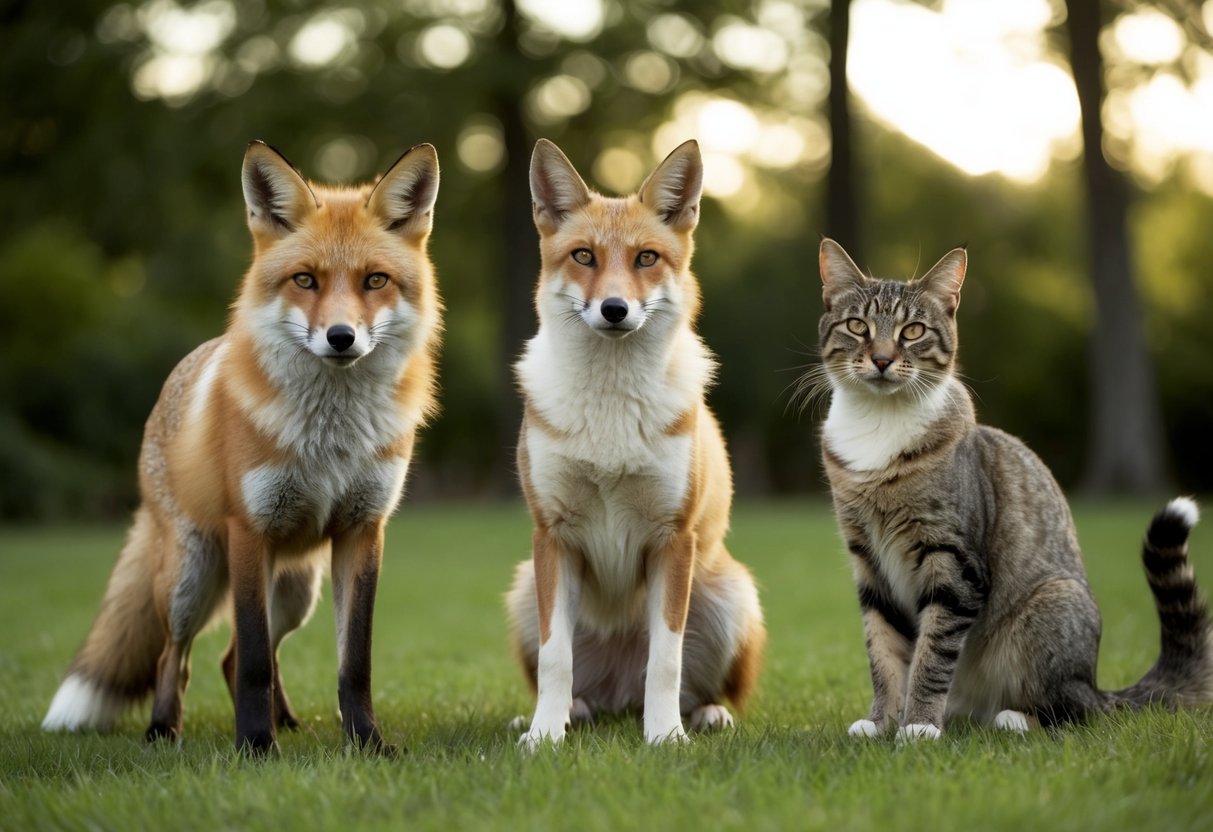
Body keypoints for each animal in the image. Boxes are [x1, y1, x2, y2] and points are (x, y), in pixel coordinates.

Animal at [41, 140, 442, 755]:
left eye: (375, 281)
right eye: (305, 280)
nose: (341, 338)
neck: (331, 437)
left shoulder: (363, 530)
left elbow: (353, 664)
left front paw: (366, 743)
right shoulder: (249, 528)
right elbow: (253, 660)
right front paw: (254, 747)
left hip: (296, 590)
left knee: (232, 659)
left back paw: (287, 721)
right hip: (192, 578)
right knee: (178, 657)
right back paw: (164, 731)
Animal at [505, 139, 766, 748]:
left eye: (646, 258)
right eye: (583, 256)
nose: (615, 309)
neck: (610, 414)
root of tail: (619, 694)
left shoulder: (672, 539)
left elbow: (665, 661)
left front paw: (665, 736)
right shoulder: (553, 537)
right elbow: (555, 661)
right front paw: (544, 736)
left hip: (732, 596)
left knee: (688, 685)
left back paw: (703, 716)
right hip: (527, 590)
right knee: (579, 685)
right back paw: (571, 713)